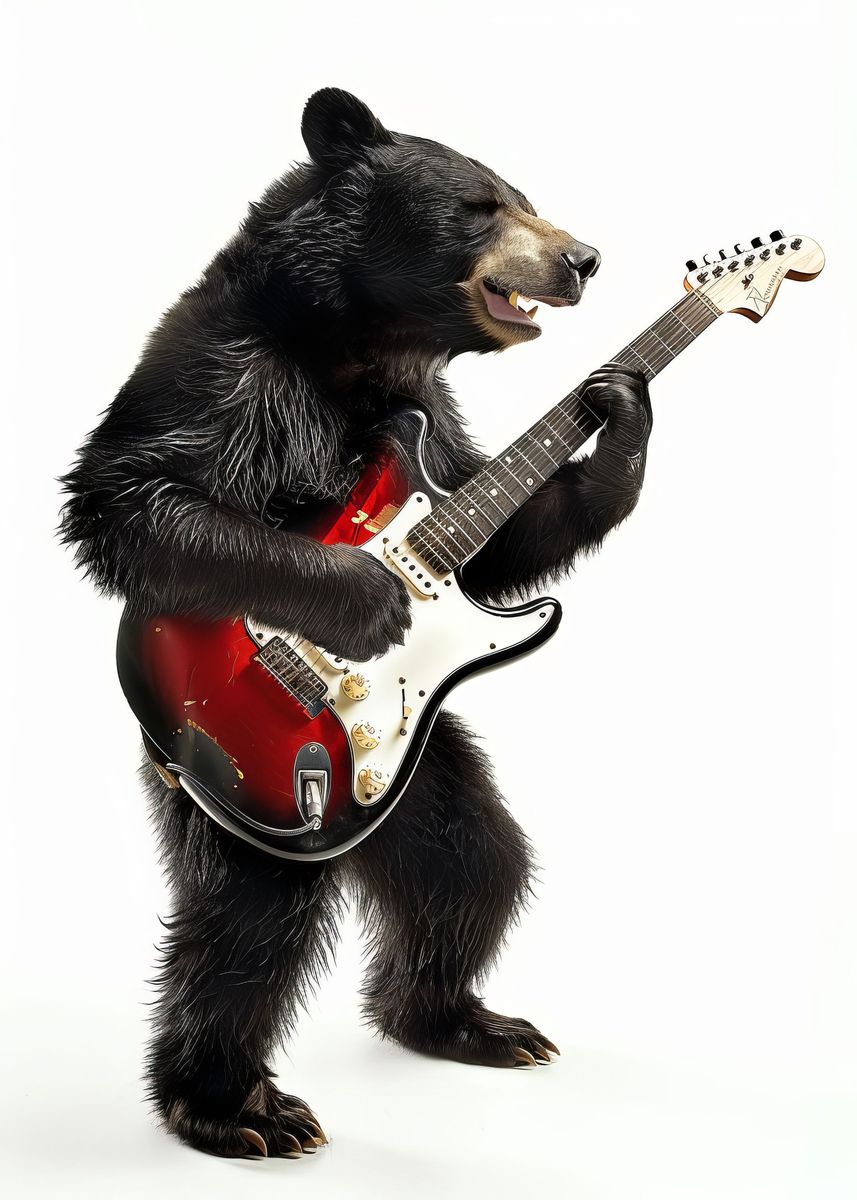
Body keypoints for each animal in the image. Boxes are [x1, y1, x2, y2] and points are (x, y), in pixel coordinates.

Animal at [60, 88, 652, 1158]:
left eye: (525, 196)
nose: (584, 257)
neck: (363, 345)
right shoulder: (223, 373)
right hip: (238, 790)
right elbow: (131, 498)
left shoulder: (432, 410)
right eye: (480, 205)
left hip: (420, 773)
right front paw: (364, 595)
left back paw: (465, 1022)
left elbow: (495, 543)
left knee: (473, 859)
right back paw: (234, 1107)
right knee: (248, 917)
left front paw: (620, 415)